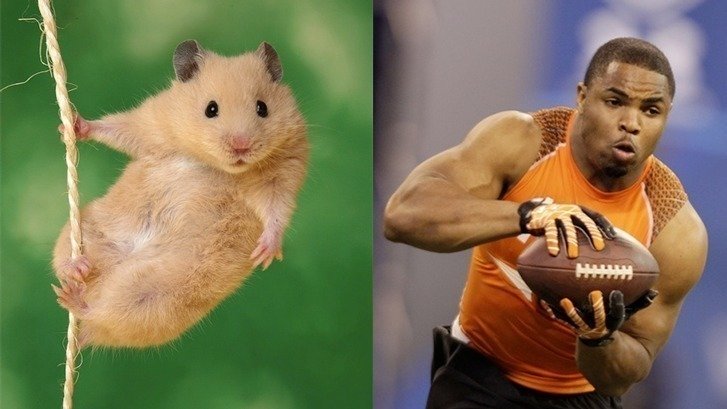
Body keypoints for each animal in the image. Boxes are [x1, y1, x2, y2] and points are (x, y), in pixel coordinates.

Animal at [52, 40, 308, 348]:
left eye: (262, 108)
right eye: (211, 109)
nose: (241, 146)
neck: (214, 165)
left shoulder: (284, 174)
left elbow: (275, 210)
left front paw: (265, 254)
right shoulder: (152, 125)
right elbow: (119, 129)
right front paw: (72, 127)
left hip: (153, 301)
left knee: (103, 314)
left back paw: (75, 297)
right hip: (86, 229)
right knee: (71, 264)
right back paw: (76, 270)